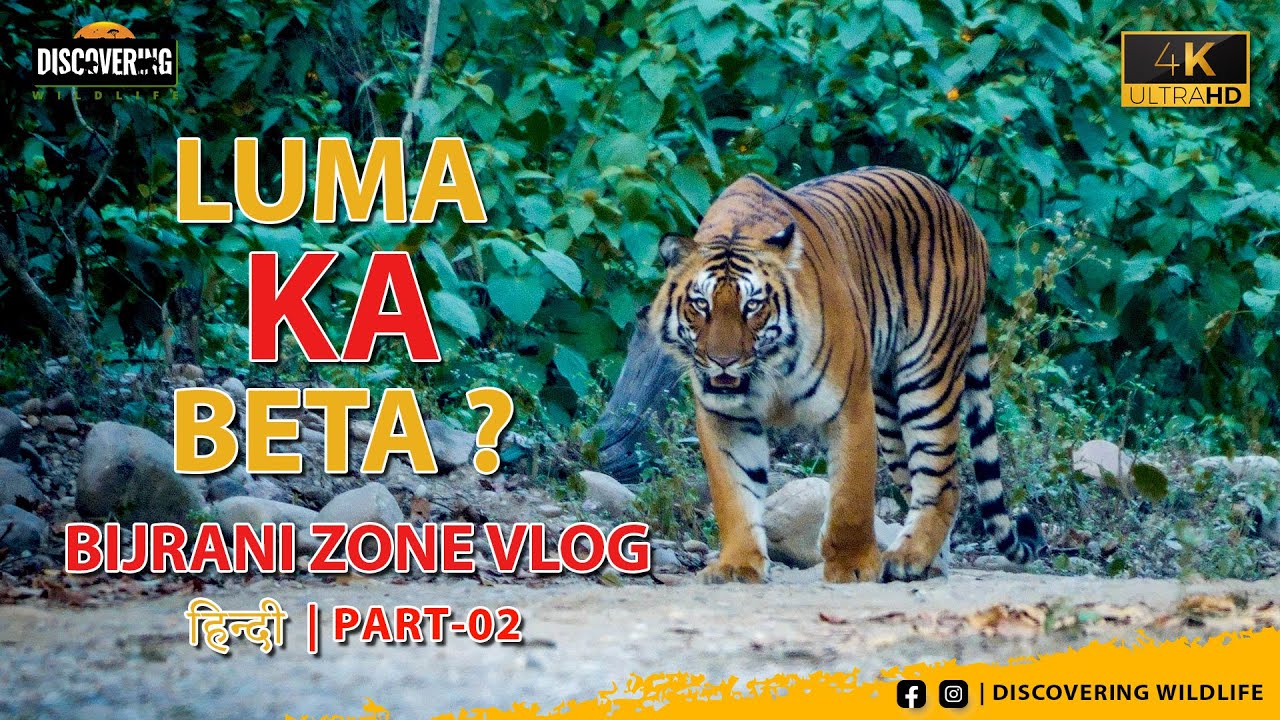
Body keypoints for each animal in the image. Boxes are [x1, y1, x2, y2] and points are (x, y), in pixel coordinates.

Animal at [648, 167, 1044, 583]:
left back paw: (908, 558)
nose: (723, 361)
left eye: (752, 306)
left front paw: (853, 567)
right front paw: (737, 565)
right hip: (888, 408)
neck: (767, 373)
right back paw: (927, 566)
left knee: (945, 480)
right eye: (701, 305)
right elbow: (734, 495)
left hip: (927, 377)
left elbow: (851, 494)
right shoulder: (725, 419)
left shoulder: (849, 403)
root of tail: (967, 218)